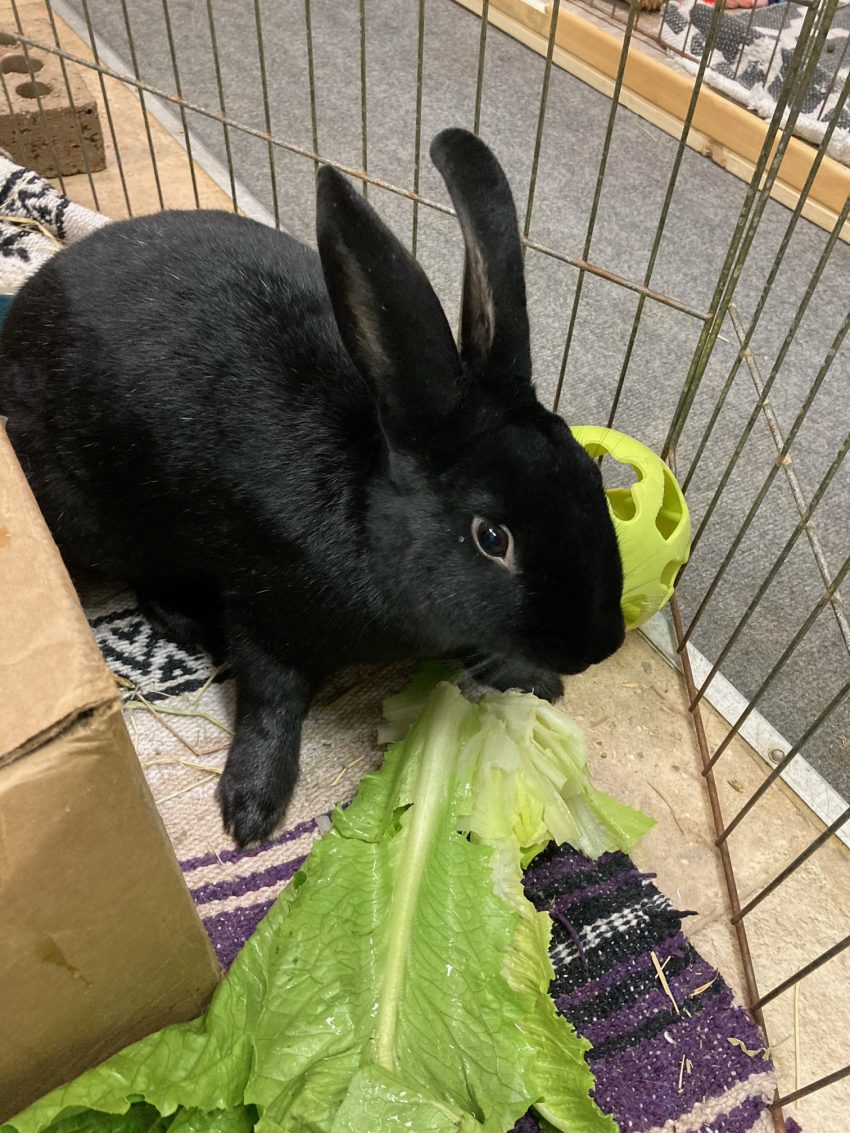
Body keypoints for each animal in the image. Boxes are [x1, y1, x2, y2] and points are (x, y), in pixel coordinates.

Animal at [0, 127, 625, 847]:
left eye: (590, 472)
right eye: (492, 538)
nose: (599, 647)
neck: (368, 511)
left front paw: (529, 679)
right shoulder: (267, 613)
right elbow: (270, 704)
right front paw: (251, 808)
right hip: (105, 518)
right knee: (146, 582)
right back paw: (192, 622)